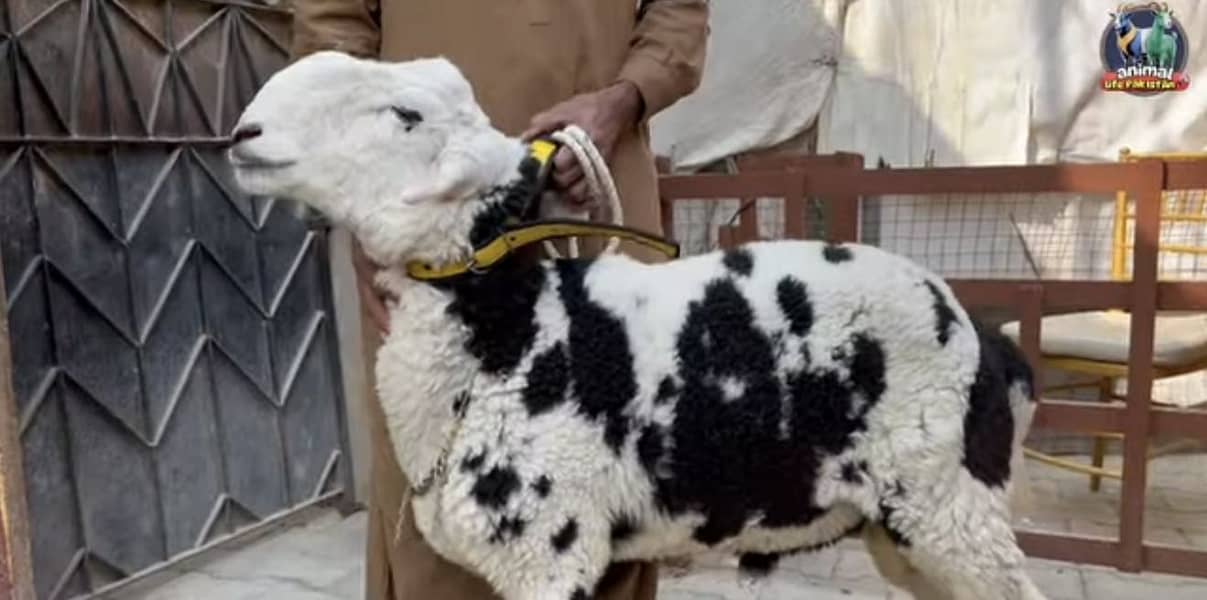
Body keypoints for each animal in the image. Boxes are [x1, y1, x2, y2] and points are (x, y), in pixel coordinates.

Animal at [227, 50, 1048, 600]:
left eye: (405, 117)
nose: (244, 134)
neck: (510, 332)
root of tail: (989, 342)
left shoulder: (551, 549)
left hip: (948, 501)